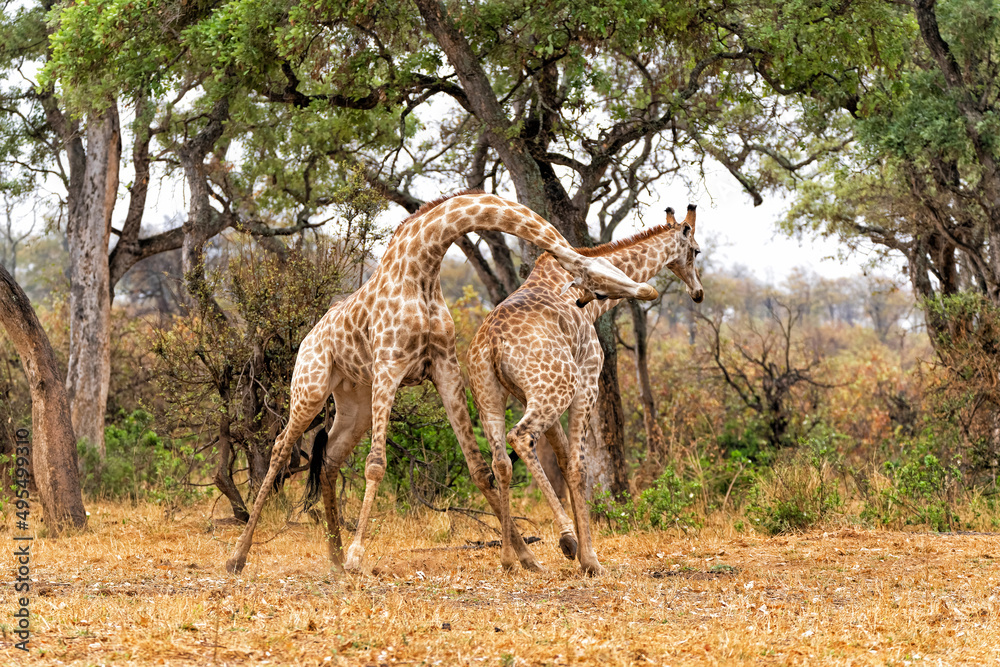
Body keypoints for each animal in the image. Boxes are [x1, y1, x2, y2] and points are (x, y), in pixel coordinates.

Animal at [224, 190, 660, 574]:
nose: (649, 289)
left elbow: (479, 467)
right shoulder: (389, 365)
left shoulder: (445, 367)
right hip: (311, 386)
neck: (423, 266)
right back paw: (240, 557)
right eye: (593, 276)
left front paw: (527, 557)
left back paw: (332, 556)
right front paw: (357, 558)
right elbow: (376, 465)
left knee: (329, 457)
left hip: (355, 401)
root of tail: (308, 337)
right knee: (280, 448)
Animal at [466, 205, 703, 574]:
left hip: (490, 396)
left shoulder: (527, 394)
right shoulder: (587, 380)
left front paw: (580, 549)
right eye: (696, 251)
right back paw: (563, 541)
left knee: (501, 461)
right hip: (557, 389)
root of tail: (492, 342)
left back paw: (513, 559)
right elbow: (578, 466)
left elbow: (564, 460)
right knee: (521, 437)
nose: (698, 291)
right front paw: (589, 558)